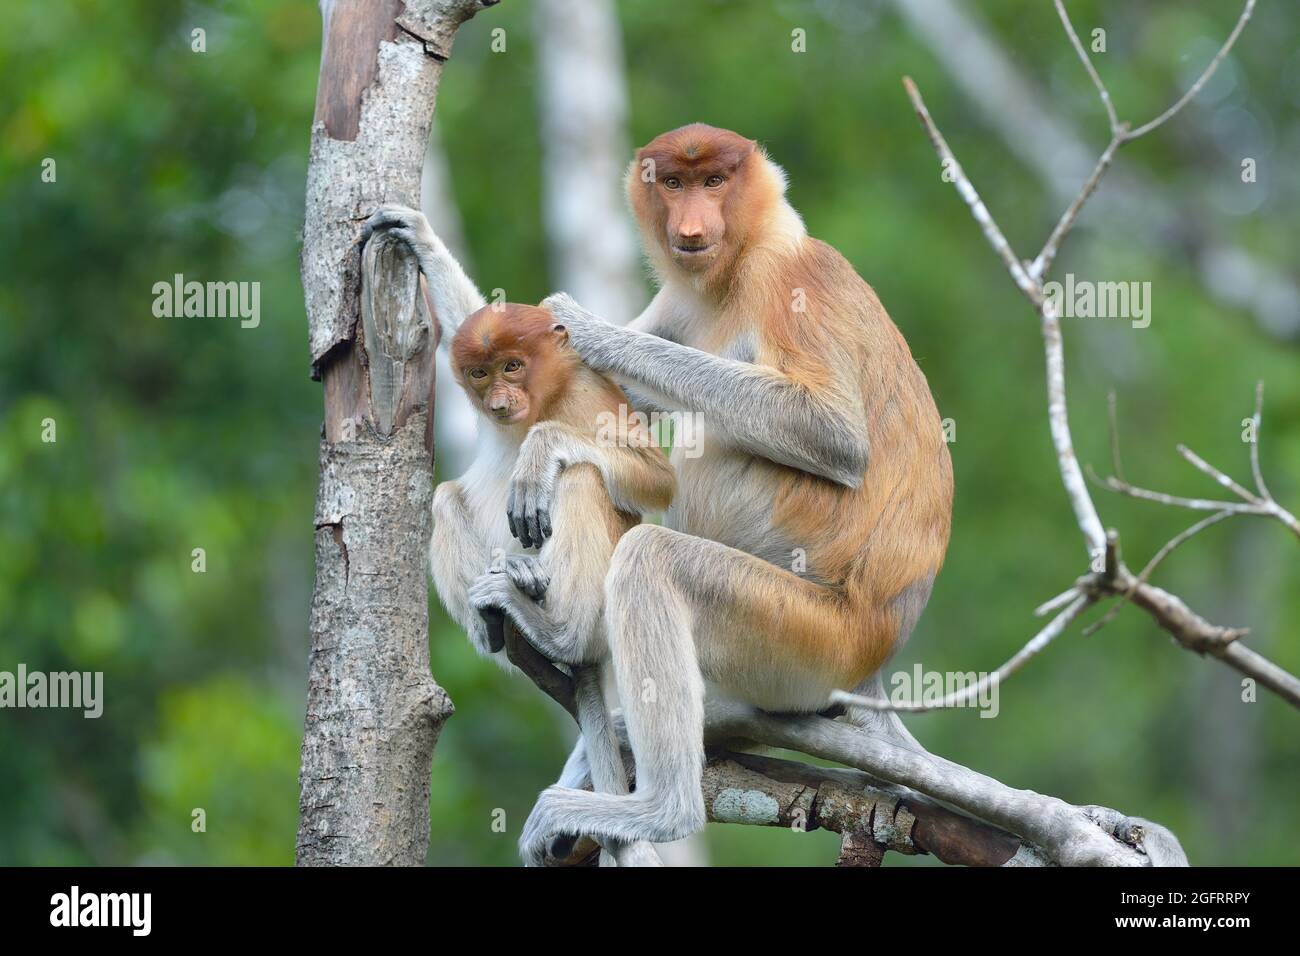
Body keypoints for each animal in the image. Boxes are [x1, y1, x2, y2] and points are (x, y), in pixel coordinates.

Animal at [425, 299, 676, 866]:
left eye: (514, 366)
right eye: (480, 373)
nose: (498, 402)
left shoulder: (591, 390)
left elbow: (657, 477)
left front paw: (540, 452)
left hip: (601, 608)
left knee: (582, 476)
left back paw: (556, 631)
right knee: (445, 497)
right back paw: (497, 619)